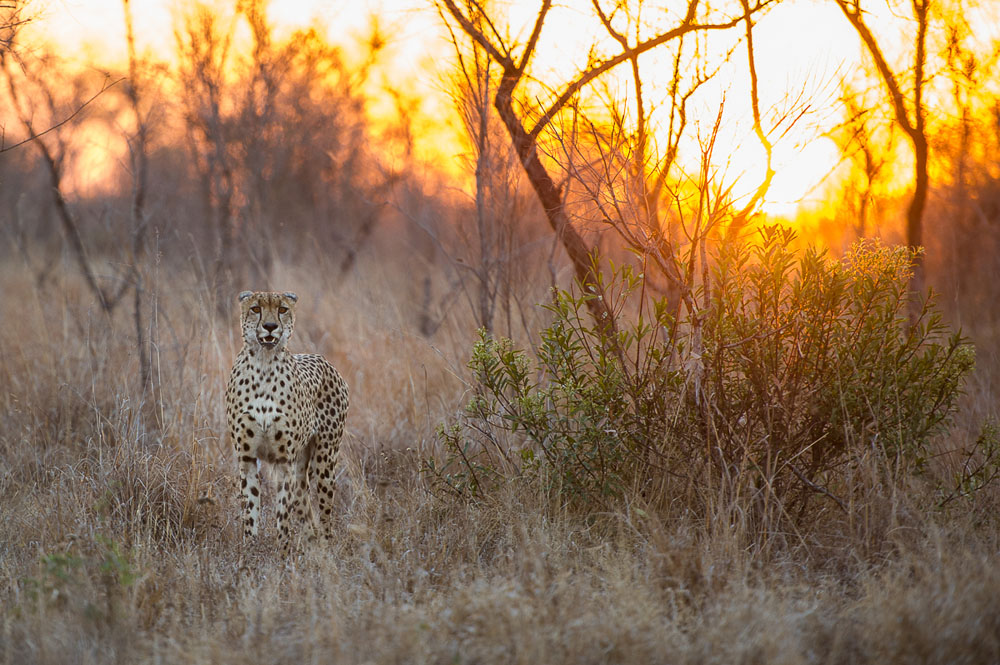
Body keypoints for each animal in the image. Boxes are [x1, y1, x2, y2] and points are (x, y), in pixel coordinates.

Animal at [225, 290, 348, 551]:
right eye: (256, 308)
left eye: (282, 309)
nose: (270, 326)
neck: (263, 364)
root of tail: (322, 358)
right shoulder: (247, 458)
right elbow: (250, 509)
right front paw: (249, 551)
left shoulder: (284, 461)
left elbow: (283, 514)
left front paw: (283, 553)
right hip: (302, 471)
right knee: (305, 507)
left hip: (325, 461)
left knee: (324, 514)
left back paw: (325, 547)